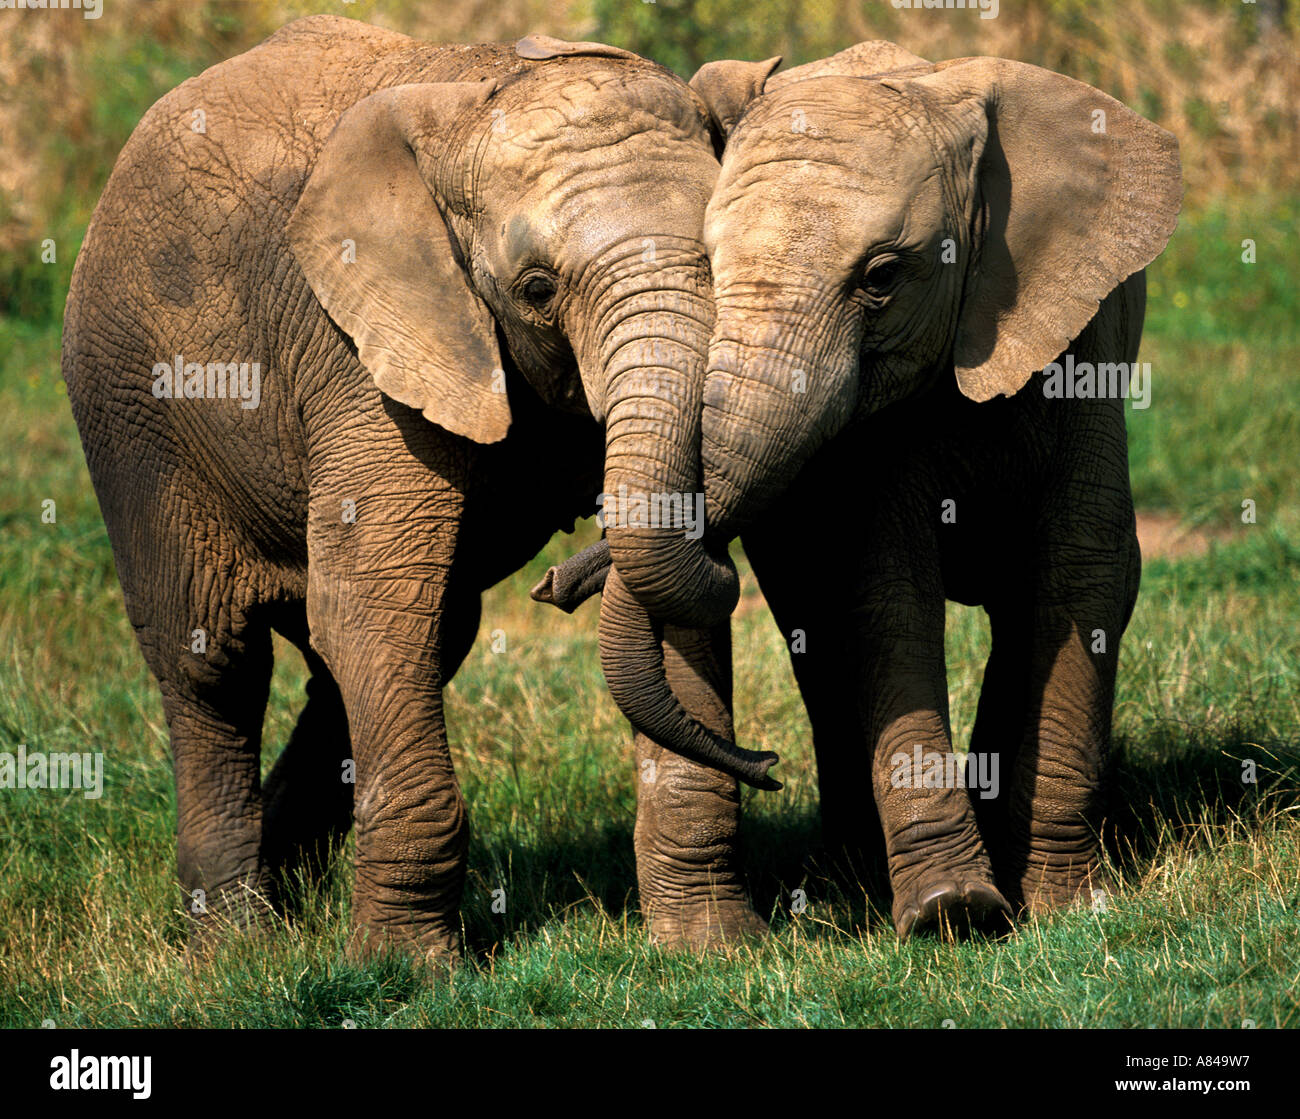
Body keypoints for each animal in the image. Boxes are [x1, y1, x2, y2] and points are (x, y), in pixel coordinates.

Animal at [60, 14, 738, 966]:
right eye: (536, 289)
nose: (560, 581)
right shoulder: (360, 348)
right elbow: (374, 597)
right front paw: (406, 971)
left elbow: (676, 589)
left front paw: (712, 948)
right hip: (129, 403)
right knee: (214, 659)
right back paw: (238, 943)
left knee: (400, 644)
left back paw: (284, 887)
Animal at [548, 41, 1181, 937]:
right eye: (707, 265)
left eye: (882, 276)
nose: (554, 581)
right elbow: (887, 592)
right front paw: (954, 912)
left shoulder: (1085, 341)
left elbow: (1080, 574)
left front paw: (1066, 909)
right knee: (815, 617)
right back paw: (849, 871)